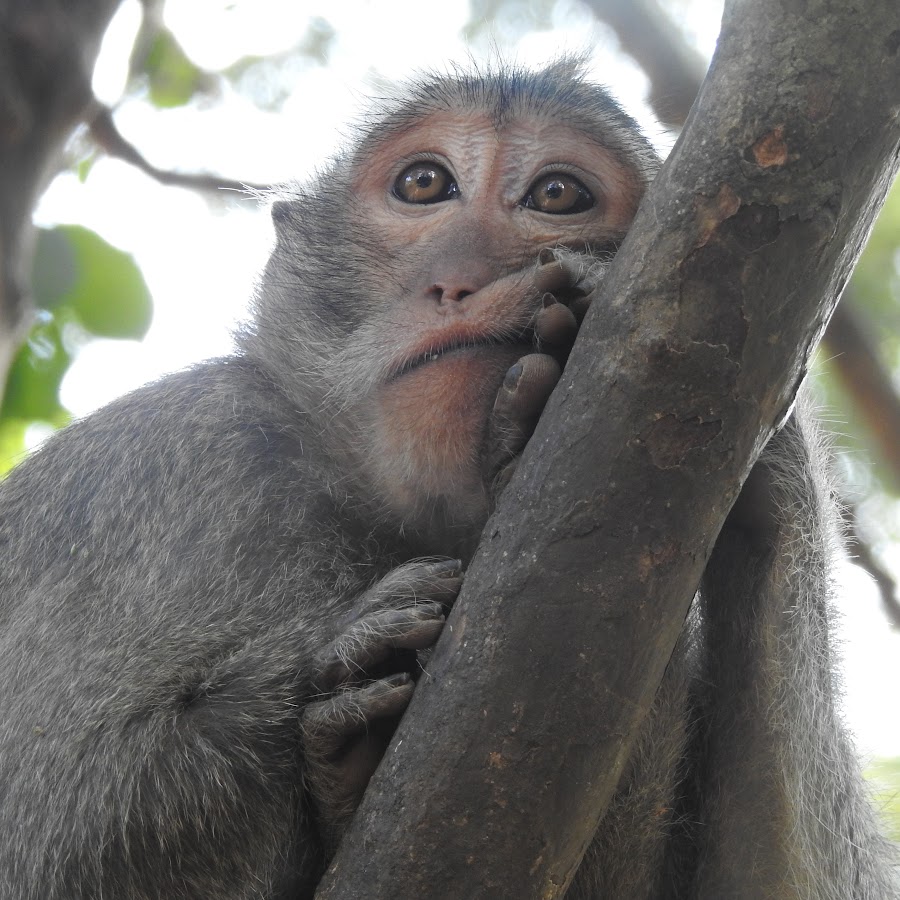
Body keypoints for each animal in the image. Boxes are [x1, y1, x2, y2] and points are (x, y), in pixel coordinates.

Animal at [0, 59, 896, 899]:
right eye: (425, 184)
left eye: (557, 194)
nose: (460, 279)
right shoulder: (177, 474)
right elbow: (46, 846)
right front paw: (350, 658)